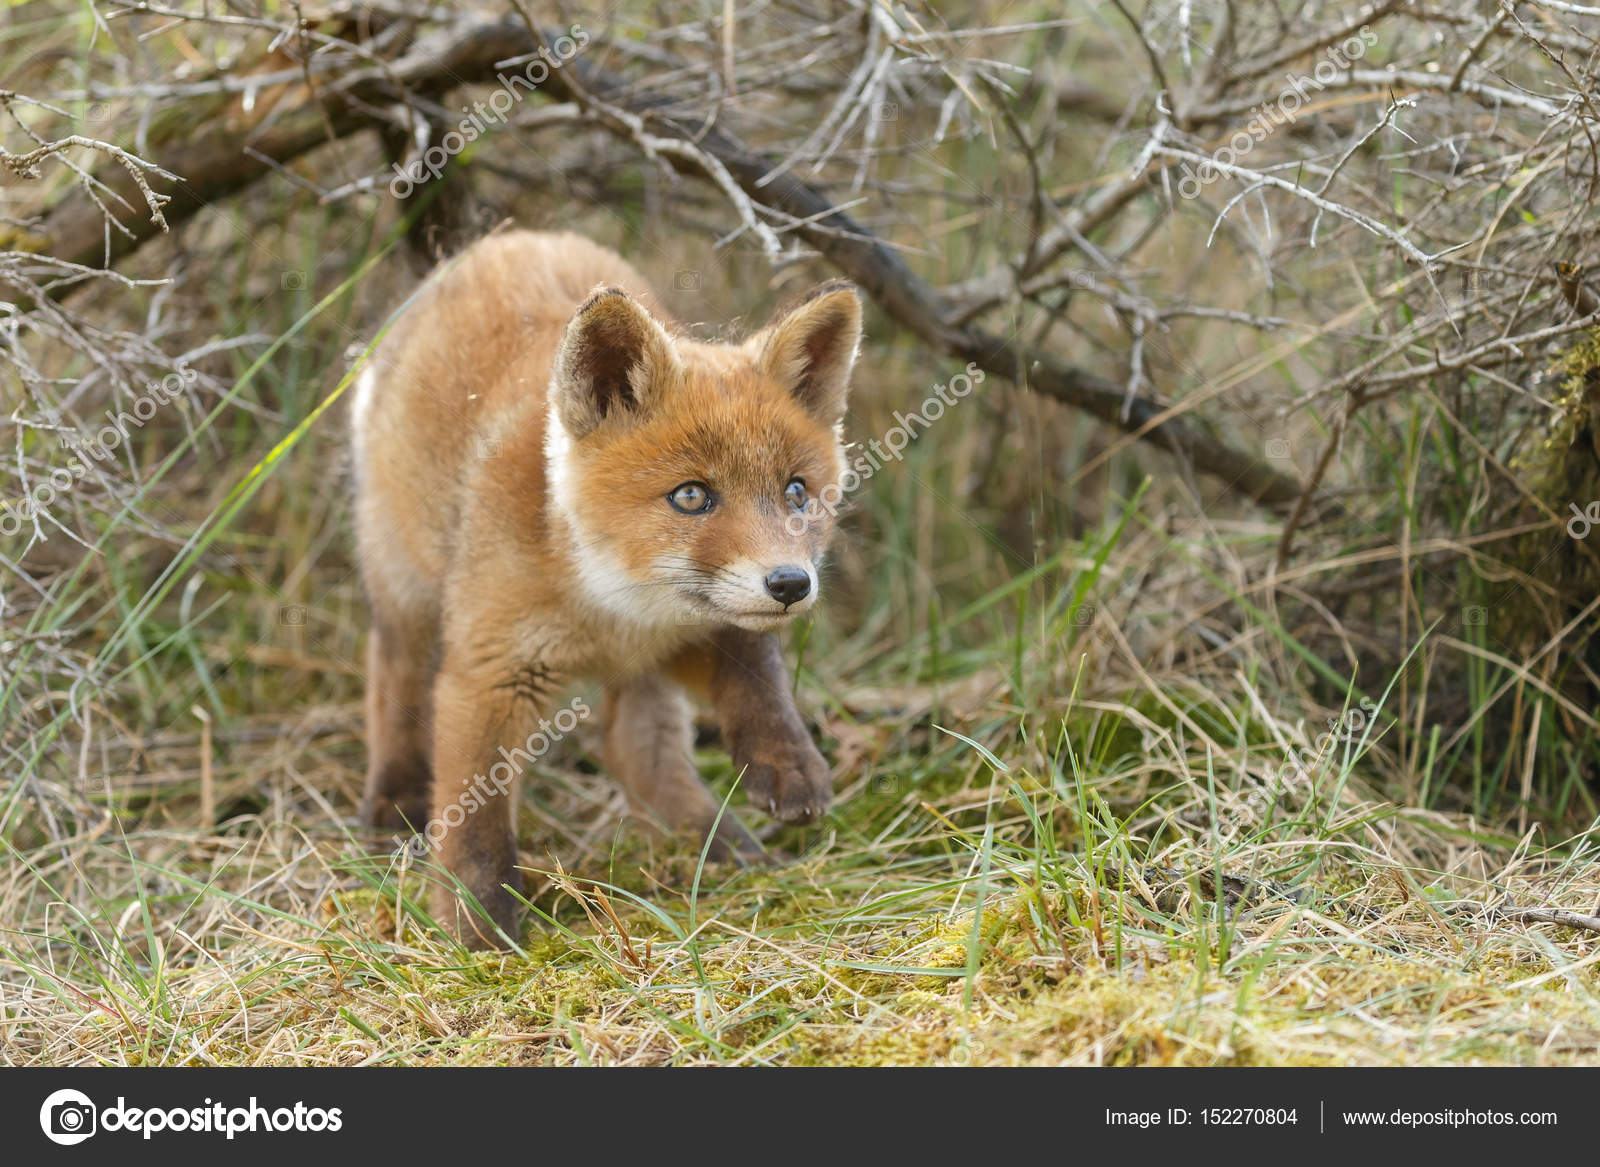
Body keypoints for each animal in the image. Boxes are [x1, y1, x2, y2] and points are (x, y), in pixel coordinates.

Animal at [349, 229, 862, 947]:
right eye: (692, 496)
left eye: (796, 492)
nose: (790, 582)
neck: (614, 609)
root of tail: (504, 240)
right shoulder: (489, 672)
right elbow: (475, 818)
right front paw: (480, 929)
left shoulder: (694, 627)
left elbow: (759, 678)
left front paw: (788, 764)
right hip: (403, 588)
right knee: (391, 676)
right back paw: (392, 801)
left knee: (637, 751)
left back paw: (714, 845)